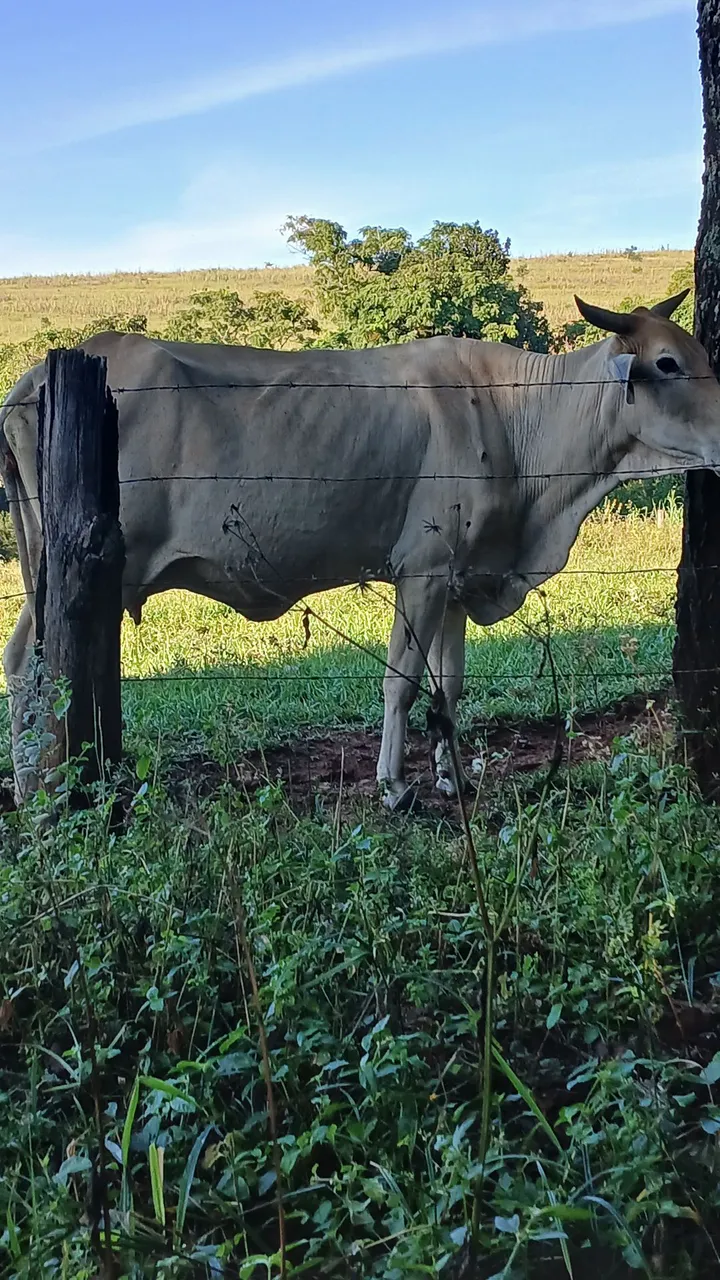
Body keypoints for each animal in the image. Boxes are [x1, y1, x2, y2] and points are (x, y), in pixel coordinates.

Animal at [2, 289, 720, 808]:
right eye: (666, 363)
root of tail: (38, 373)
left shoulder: (459, 577)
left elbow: (449, 686)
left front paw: (454, 778)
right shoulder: (421, 571)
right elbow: (401, 681)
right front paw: (395, 786)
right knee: (29, 663)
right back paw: (42, 784)